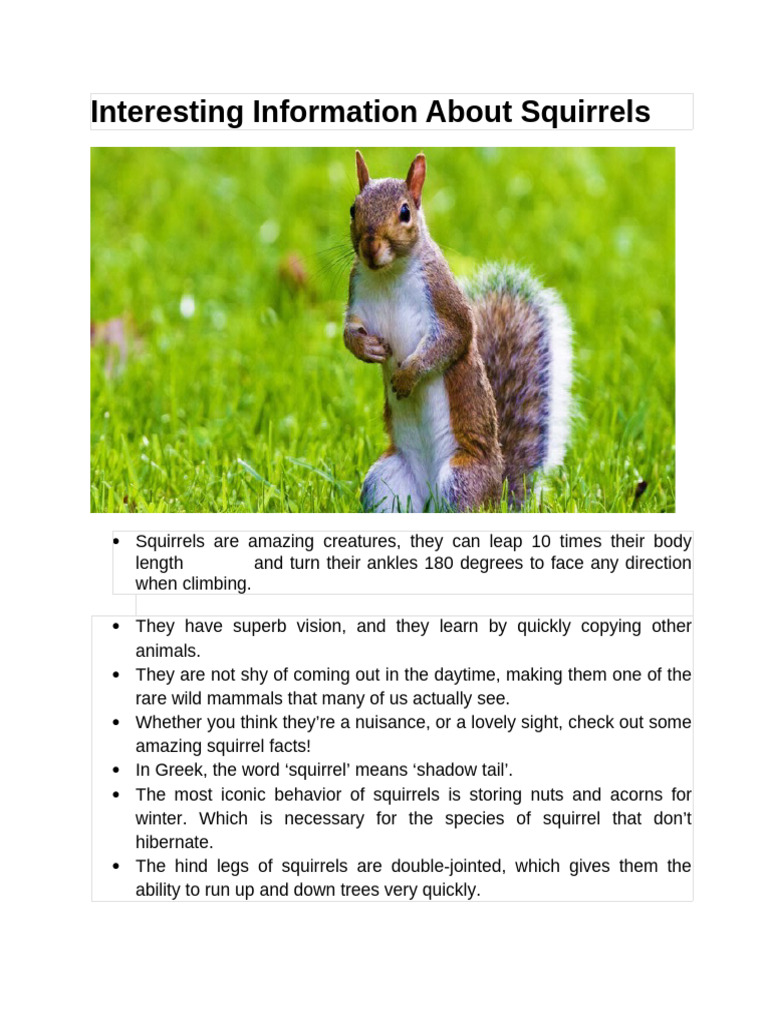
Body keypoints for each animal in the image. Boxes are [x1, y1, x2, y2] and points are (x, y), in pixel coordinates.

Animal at [343, 150, 573, 512]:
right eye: (354, 208)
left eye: (405, 212)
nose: (369, 247)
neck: (388, 274)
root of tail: (497, 494)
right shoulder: (357, 297)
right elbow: (348, 333)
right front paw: (367, 349)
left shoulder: (445, 301)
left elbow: (454, 340)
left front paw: (407, 376)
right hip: (385, 482)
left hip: (460, 480)